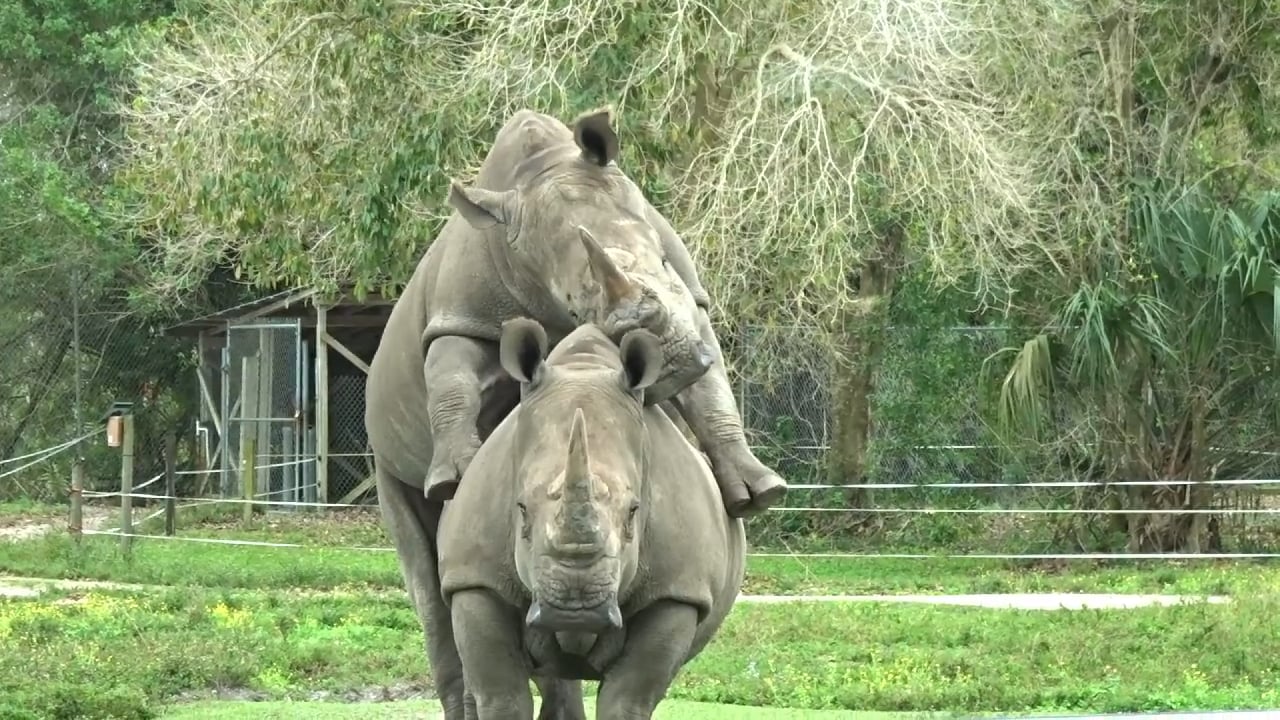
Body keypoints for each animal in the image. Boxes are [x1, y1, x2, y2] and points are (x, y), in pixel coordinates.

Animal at [436, 318, 746, 719]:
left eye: (634, 512)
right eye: (520, 509)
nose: (574, 608)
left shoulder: (678, 591)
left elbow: (627, 699)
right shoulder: (474, 578)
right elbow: (502, 696)